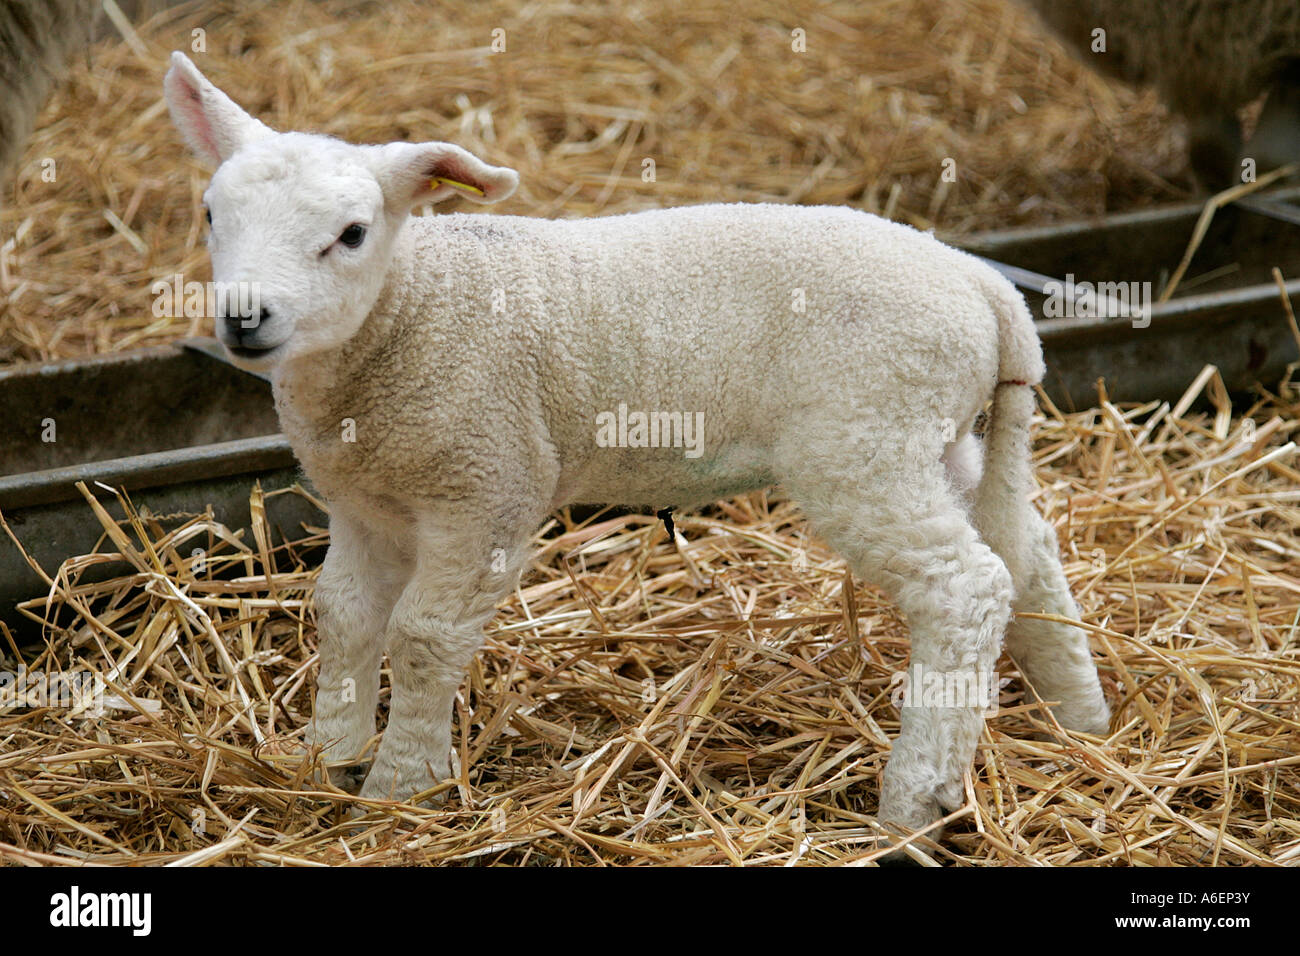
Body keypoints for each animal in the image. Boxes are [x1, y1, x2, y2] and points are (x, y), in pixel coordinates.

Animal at [162, 50, 1111, 843]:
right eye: (209, 214)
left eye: (352, 234)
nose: (245, 319)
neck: (412, 309)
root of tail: (987, 288)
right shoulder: (369, 503)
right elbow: (344, 617)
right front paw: (323, 759)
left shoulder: (486, 484)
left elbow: (424, 636)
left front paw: (401, 790)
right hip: (937, 438)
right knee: (1028, 548)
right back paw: (1080, 715)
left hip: (865, 437)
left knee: (966, 585)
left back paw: (915, 798)